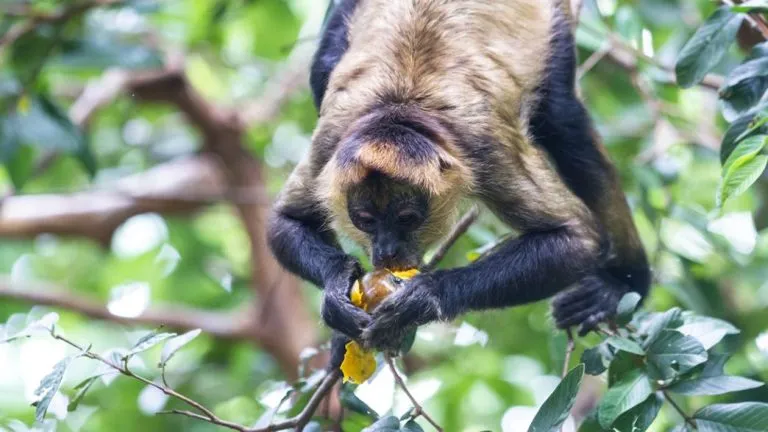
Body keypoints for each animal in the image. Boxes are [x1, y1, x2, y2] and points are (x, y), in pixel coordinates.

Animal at [267, 0, 650, 355]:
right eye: (365, 219)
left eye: (408, 218)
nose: (387, 249)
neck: (400, 105)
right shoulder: (332, 144)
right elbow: (283, 223)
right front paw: (337, 289)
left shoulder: (485, 147)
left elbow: (576, 239)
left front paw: (425, 297)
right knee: (321, 69)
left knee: (563, 120)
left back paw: (623, 284)